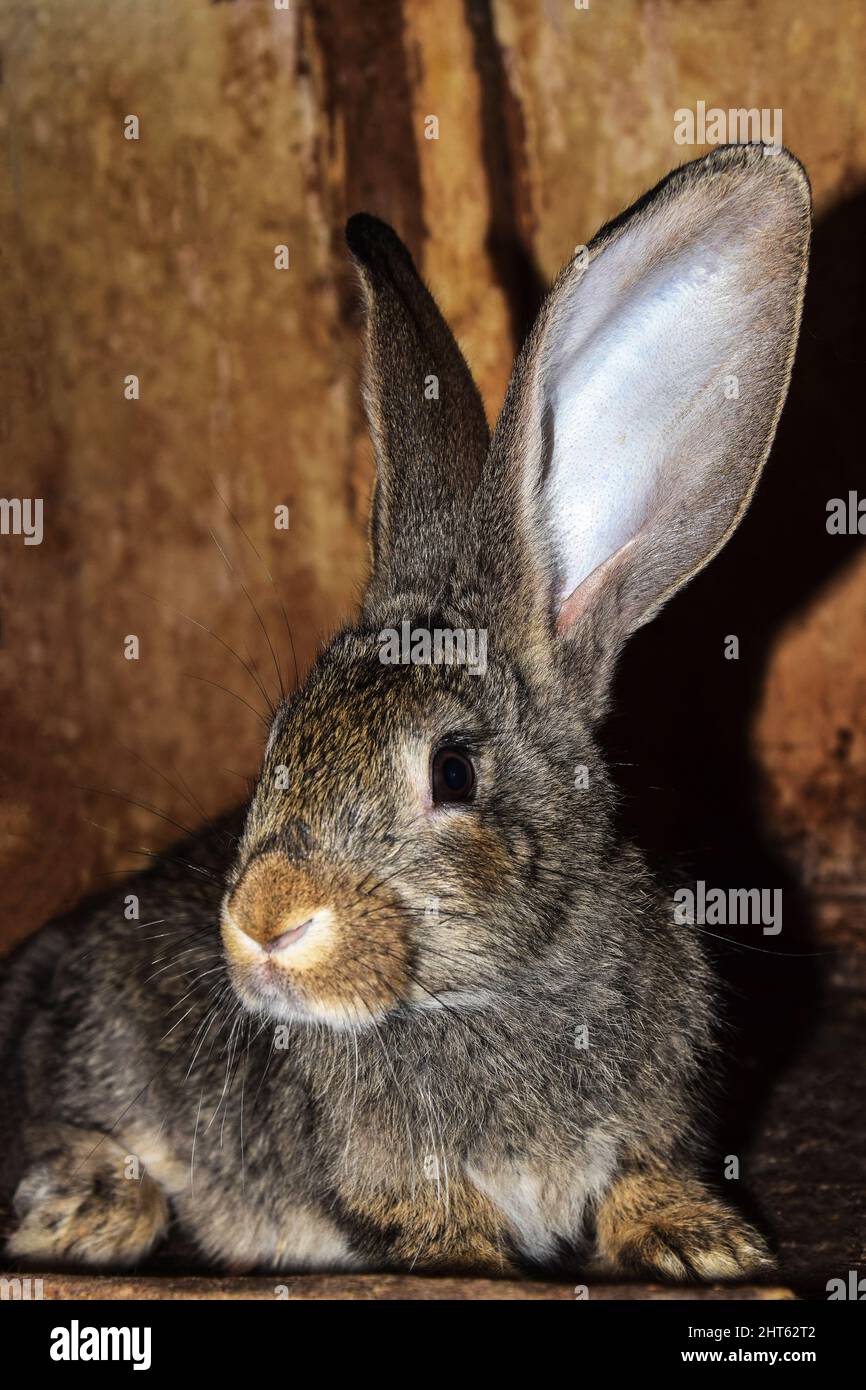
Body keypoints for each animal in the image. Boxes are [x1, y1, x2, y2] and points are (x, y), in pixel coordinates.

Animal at [0, 144, 810, 1280]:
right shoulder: (393, 1191)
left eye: (453, 772)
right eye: (278, 738)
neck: (494, 987)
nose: (265, 921)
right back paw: (82, 1208)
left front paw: (705, 1246)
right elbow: (445, 1238)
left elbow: (641, 1177)